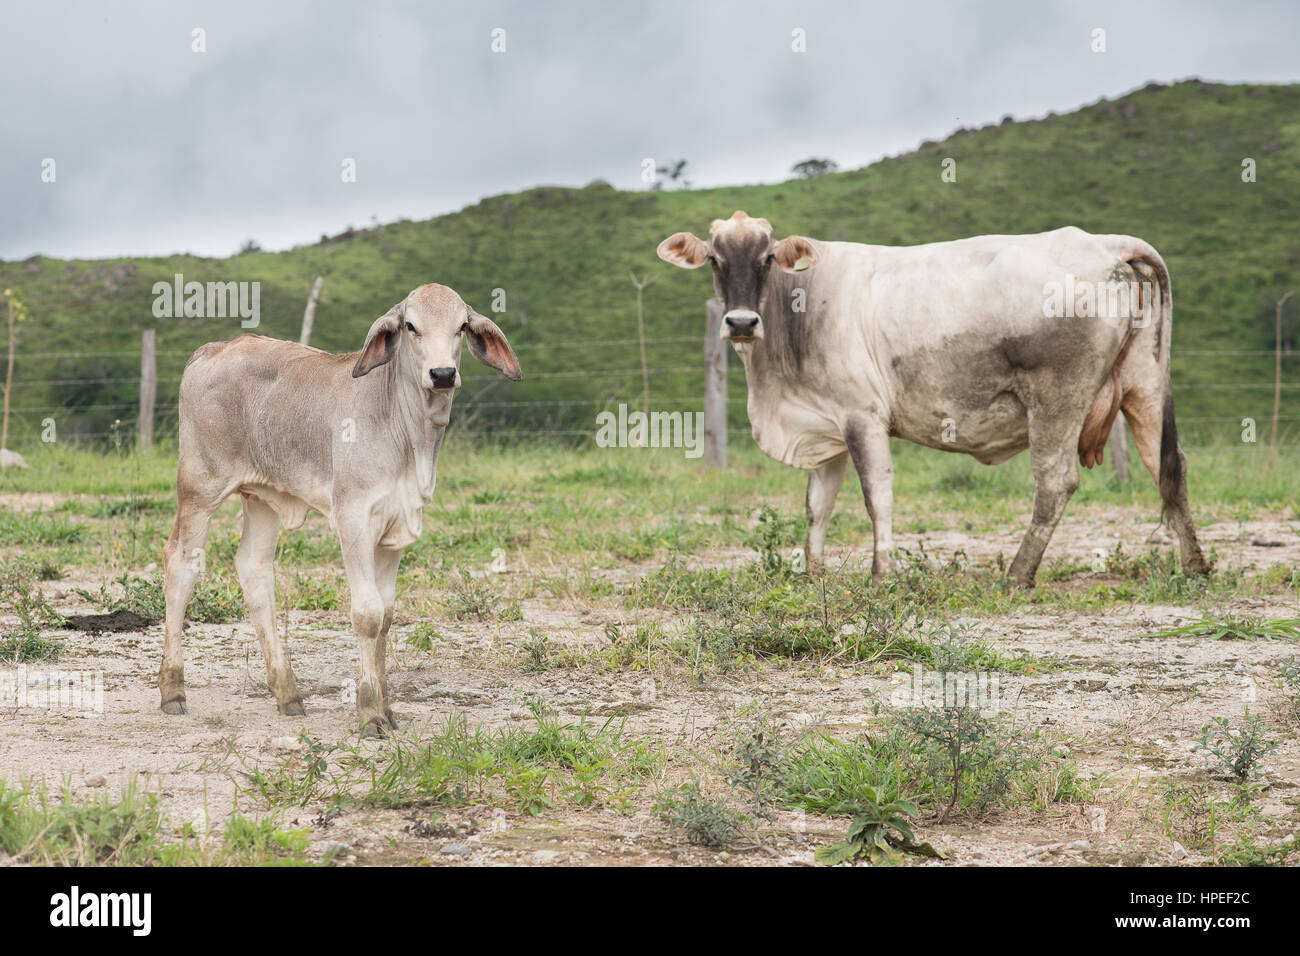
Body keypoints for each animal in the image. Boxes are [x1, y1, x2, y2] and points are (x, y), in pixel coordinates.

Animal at [159, 283, 522, 736]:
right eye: (410, 326)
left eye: (461, 326)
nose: (442, 374)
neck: (407, 435)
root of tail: (214, 349)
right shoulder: (354, 518)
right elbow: (367, 613)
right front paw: (369, 713)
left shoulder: (395, 528)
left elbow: (386, 615)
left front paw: (387, 709)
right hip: (199, 488)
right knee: (182, 565)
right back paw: (173, 690)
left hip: (261, 496)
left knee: (254, 570)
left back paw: (288, 693)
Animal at [657, 212, 1208, 587]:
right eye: (714, 259)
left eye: (767, 258)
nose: (741, 322)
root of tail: (1104, 243)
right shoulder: (826, 423)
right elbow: (818, 506)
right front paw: (812, 574)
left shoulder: (862, 417)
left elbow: (876, 496)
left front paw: (881, 576)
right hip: (1143, 387)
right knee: (1168, 465)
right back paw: (1195, 566)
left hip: (1057, 400)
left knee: (1056, 483)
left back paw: (1016, 574)